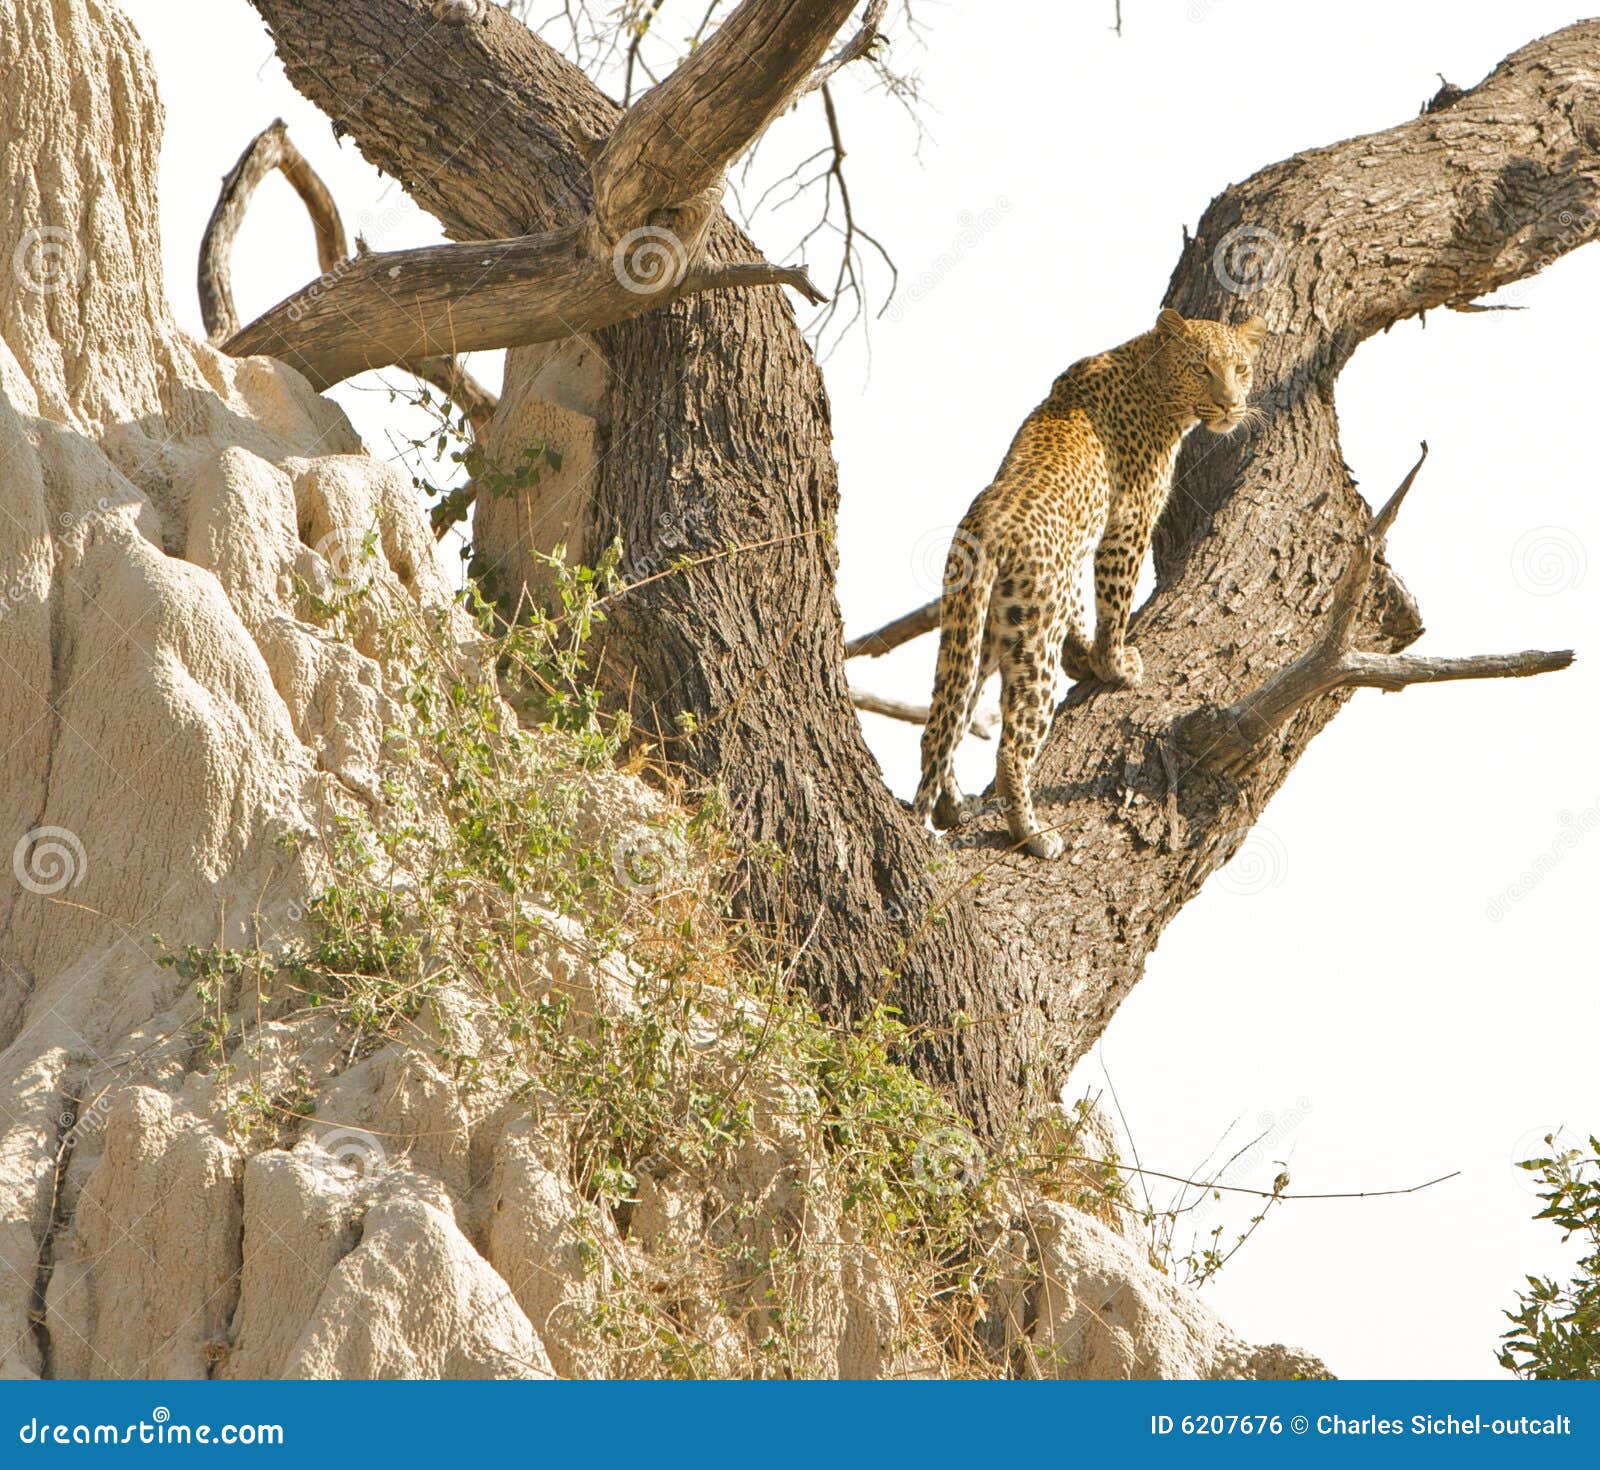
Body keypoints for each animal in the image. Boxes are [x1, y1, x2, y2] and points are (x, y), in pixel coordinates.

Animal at [912, 308, 1267, 859]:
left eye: (1242, 368)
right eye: (1202, 368)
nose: (1232, 404)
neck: (1151, 380)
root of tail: (986, 527)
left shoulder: (1076, 555)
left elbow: (1081, 605)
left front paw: (1086, 656)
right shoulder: (1128, 524)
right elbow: (1113, 603)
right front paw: (1115, 664)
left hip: (975, 630)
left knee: (942, 725)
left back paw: (951, 805)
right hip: (1031, 640)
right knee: (1010, 746)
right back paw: (1034, 834)